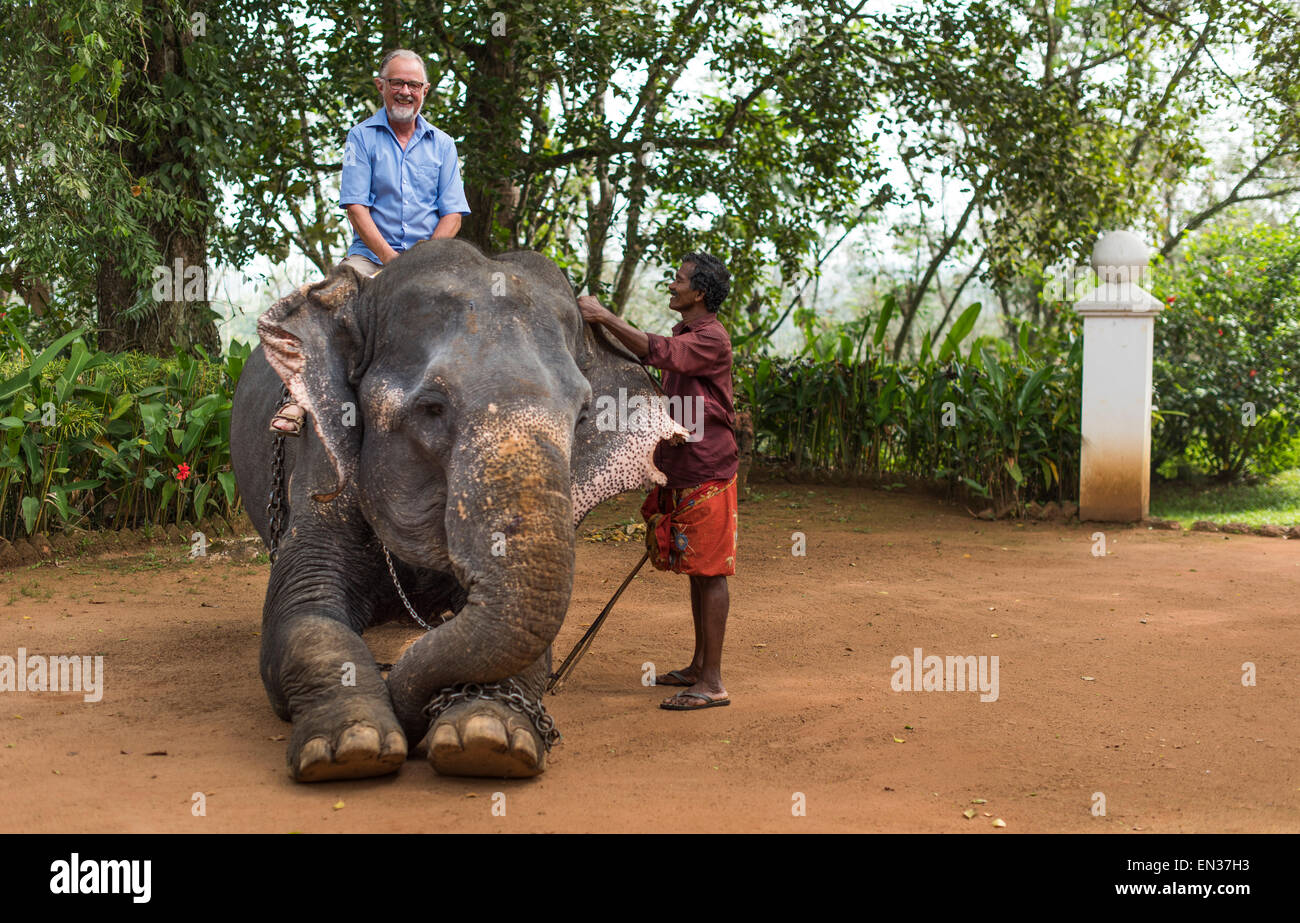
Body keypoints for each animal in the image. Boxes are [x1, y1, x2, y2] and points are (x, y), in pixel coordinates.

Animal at [229, 239, 684, 781]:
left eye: (581, 415)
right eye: (432, 407)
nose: (409, 714)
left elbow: (529, 640)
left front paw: (487, 740)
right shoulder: (321, 463)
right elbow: (303, 612)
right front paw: (349, 747)